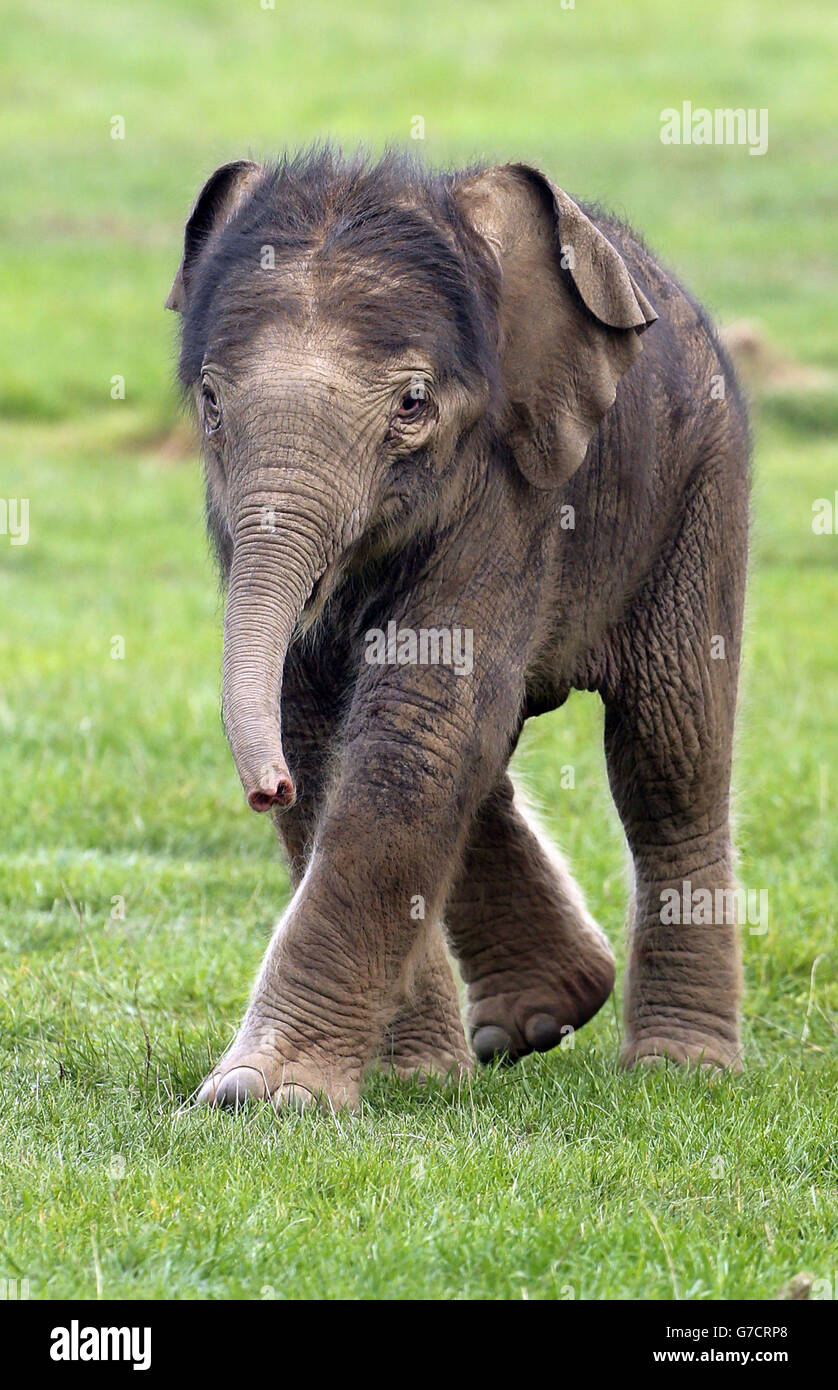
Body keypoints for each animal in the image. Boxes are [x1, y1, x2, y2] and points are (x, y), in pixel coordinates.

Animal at [166, 149, 749, 1111]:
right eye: (211, 402)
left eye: (412, 404)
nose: (267, 790)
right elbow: (326, 727)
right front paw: (410, 1075)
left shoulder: (512, 492)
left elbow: (416, 728)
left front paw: (260, 1097)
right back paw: (539, 1018)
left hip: (701, 488)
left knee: (670, 752)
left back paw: (680, 1066)